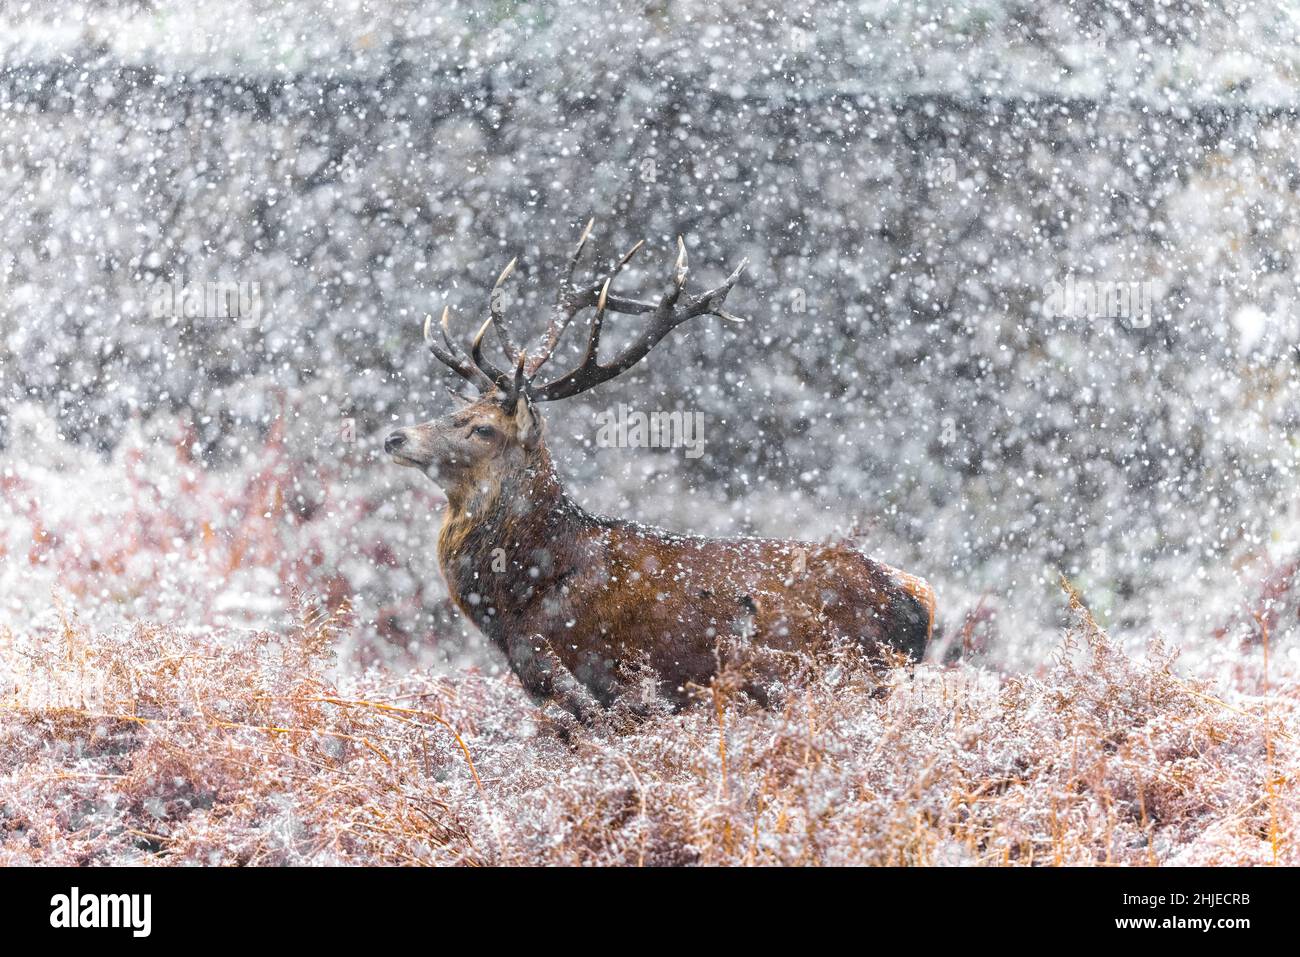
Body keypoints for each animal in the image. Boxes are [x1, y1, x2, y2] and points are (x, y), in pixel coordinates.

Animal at [385, 222, 935, 725]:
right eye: (459, 409)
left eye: (482, 429)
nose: (395, 437)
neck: (523, 594)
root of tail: (917, 598)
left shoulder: (599, 681)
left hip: (846, 675)